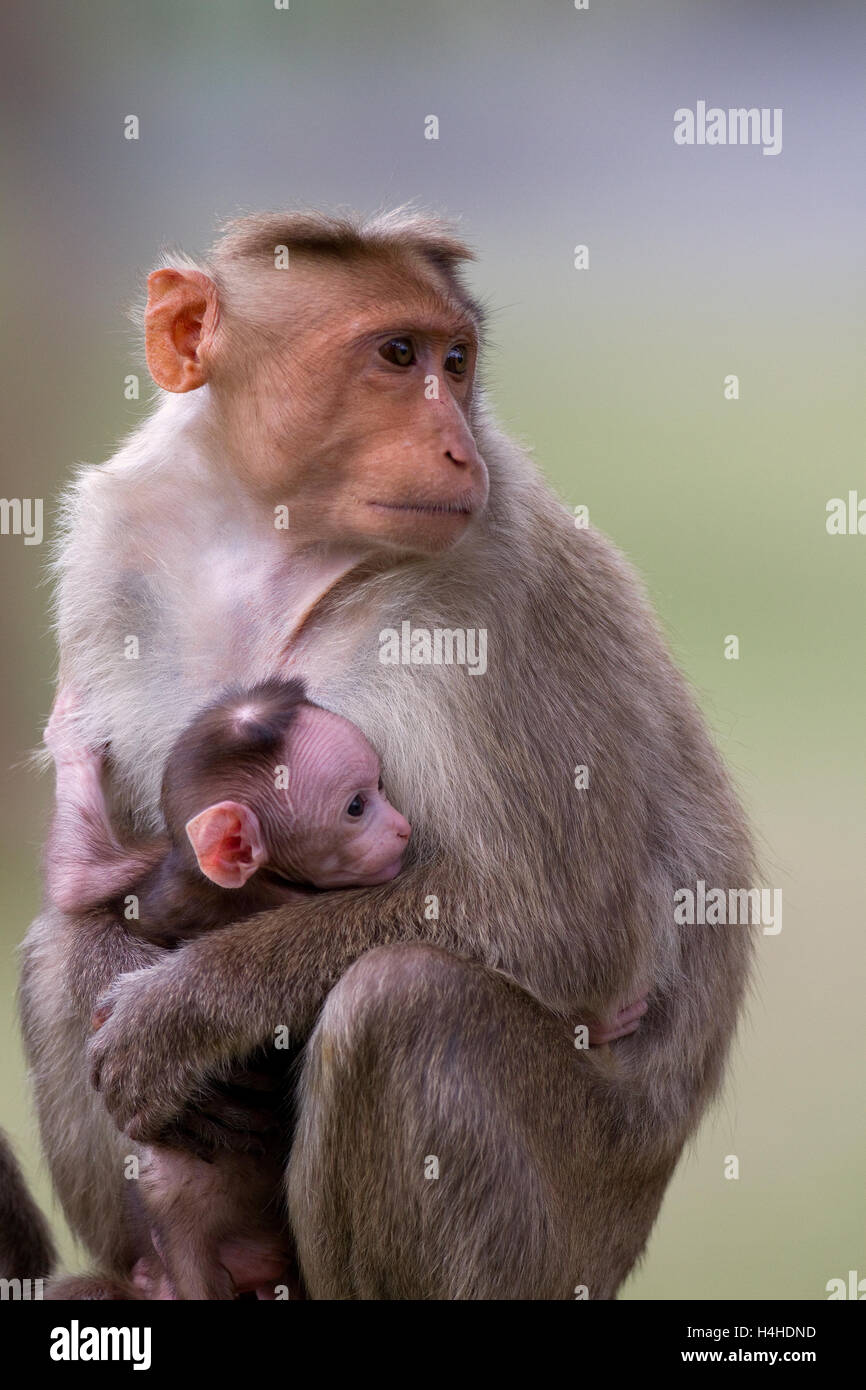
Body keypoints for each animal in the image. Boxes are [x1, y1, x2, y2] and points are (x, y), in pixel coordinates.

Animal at [42, 676, 411, 1299]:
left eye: (380, 785)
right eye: (357, 805)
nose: (404, 827)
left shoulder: (170, 874)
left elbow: (83, 883)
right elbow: (81, 887)